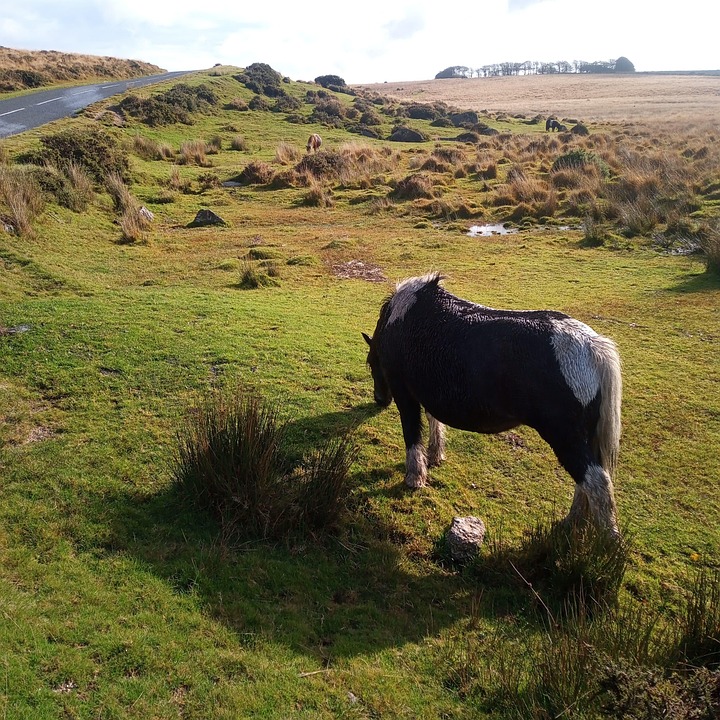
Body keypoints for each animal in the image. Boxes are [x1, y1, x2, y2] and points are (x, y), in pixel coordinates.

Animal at [362, 273, 622, 537]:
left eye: (371, 363)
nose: (379, 399)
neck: (400, 319)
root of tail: (592, 346)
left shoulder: (406, 396)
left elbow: (412, 435)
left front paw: (415, 478)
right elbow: (433, 421)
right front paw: (435, 455)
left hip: (566, 438)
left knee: (597, 482)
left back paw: (608, 541)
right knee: (587, 483)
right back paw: (573, 521)